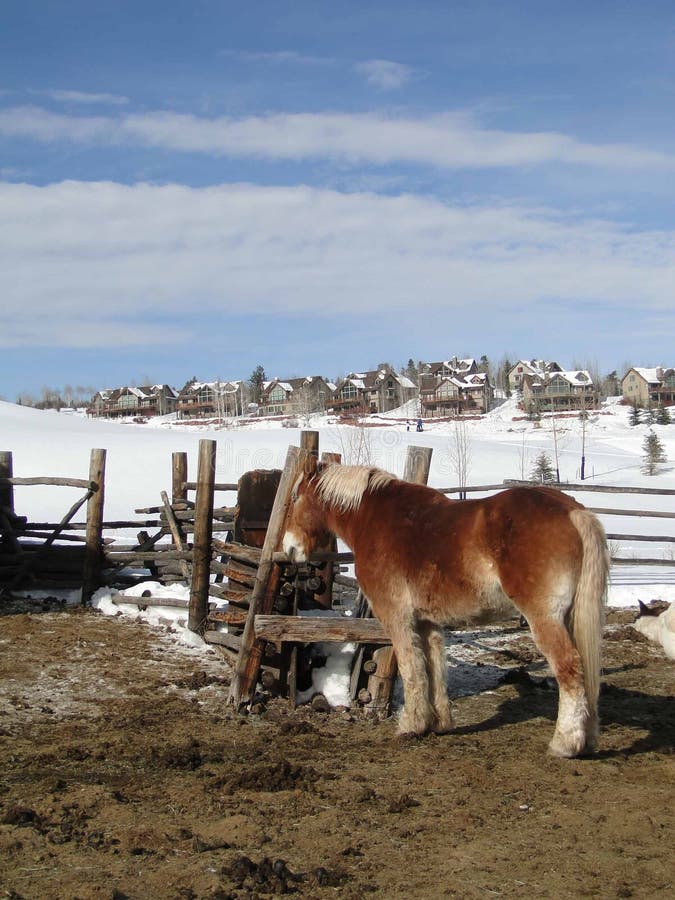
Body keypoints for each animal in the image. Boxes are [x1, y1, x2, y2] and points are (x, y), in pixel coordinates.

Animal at [283, 463, 609, 758]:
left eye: (296, 496)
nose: (289, 548)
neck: (373, 519)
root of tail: (572, 511)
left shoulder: (398, 618)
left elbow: (411, 668)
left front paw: (411, 726)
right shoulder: (428, 622)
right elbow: (434, 667)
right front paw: (438, 724)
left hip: (545, 619)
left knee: (569, 668)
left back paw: (565, 744)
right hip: (570, 618)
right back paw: (587, 739)